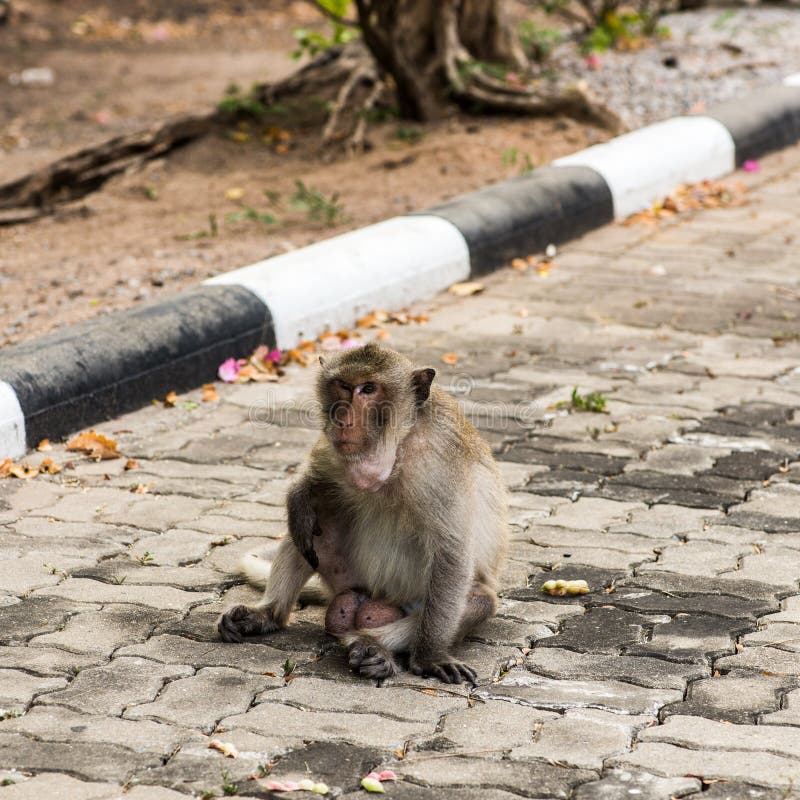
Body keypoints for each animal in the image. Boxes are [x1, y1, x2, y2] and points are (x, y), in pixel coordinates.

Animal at [218, 343, 508, 684]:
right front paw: (299, 494)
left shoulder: (436, 460)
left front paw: (429, 656)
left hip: (411, 602)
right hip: (348, 578)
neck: (398, 441)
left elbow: (451, 551)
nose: (342, 418)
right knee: (313, 524)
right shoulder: (335, 446)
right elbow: (317, 480)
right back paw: (269, 614)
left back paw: (371, 646)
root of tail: (376, 595)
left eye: (368, 389)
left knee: (478, 601)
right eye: (343, 386)